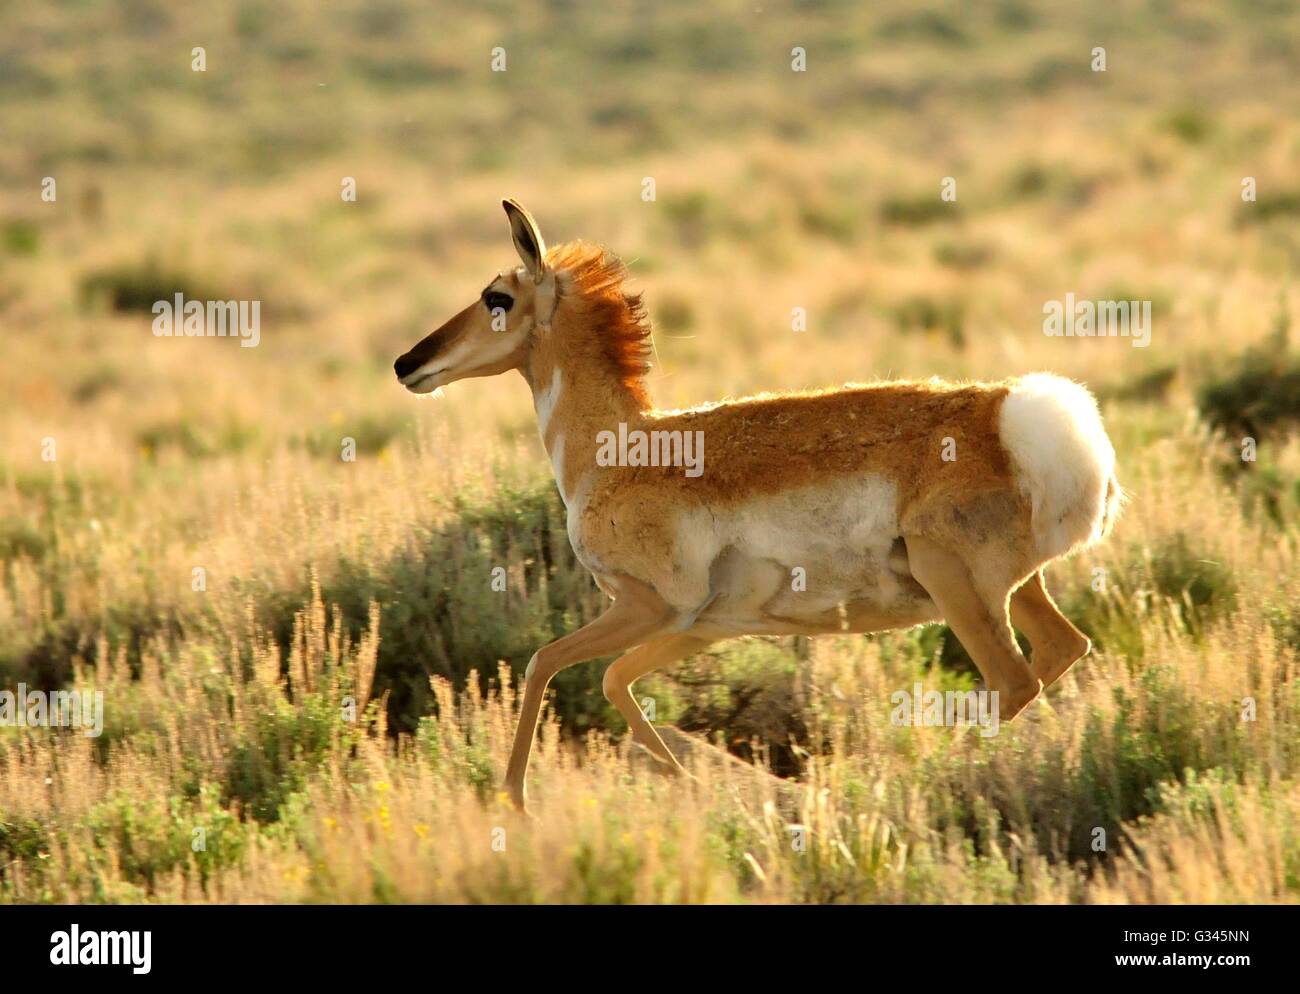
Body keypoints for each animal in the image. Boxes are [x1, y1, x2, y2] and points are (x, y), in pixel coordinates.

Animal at [394, 200, 1121, 811]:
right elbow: (614, 680)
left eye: (497, 296)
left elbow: (554, 664)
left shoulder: (648, 607)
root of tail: (1014, 415)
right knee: (1062, 649)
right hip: (1013, 591)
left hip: (957, 590)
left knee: (1013, 681)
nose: (407, 363)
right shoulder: (704, 625)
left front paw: (516, 802)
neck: (624, 448)